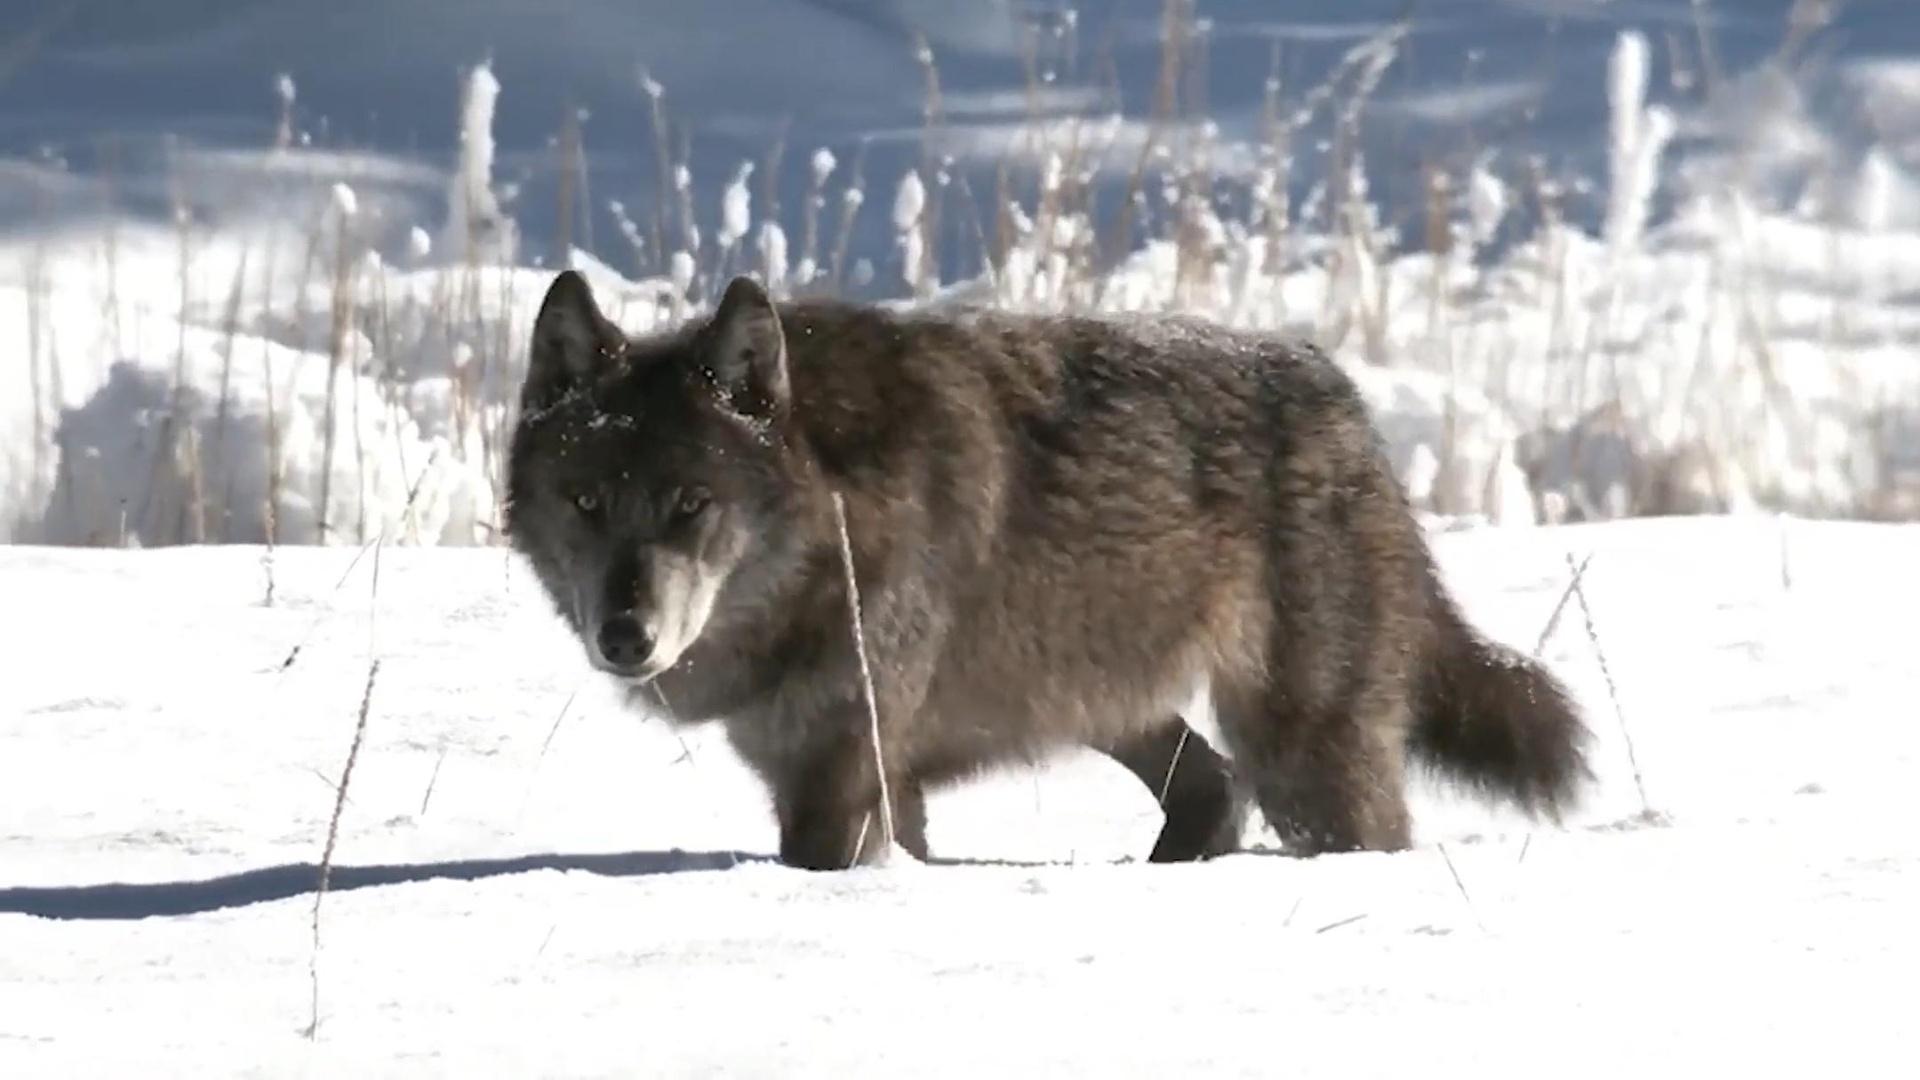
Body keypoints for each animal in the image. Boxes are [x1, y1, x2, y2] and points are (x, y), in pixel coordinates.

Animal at [504, 270, 1592, 870]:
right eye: (586, 502)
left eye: (692, 504)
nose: (626, 635)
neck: (832, 523)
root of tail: (1342, 397)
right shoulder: (873, 778)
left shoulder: (837, 774)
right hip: (1102, 700)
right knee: (1210, 790)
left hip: (1303, 757)